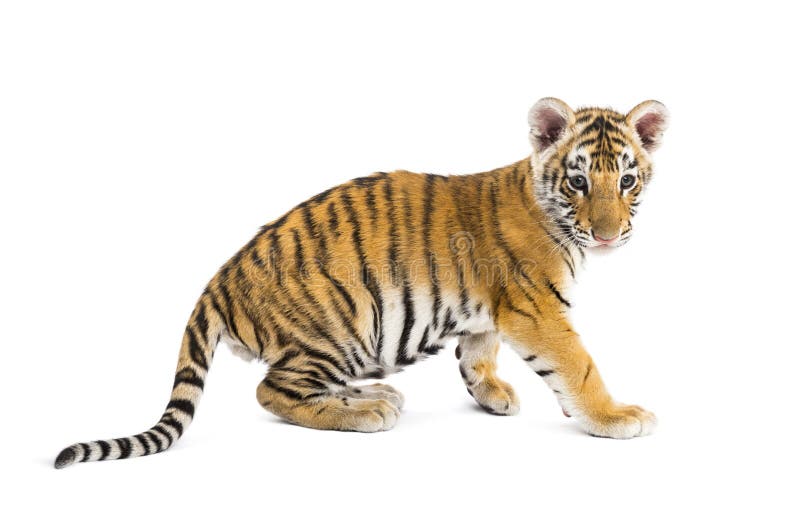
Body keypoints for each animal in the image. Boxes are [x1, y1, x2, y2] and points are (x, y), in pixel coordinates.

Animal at [54, 97, 668, 468]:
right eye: (579, 182)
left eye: (627, 180)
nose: (609, 235)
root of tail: (218, 282)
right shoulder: (536, 308)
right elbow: (578, 366)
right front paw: (616, 417)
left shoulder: (491, 310)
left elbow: (477, 352)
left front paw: (491, 395)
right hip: (340, 323)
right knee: (273, 391)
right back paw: (366, 412)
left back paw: (375, 395)